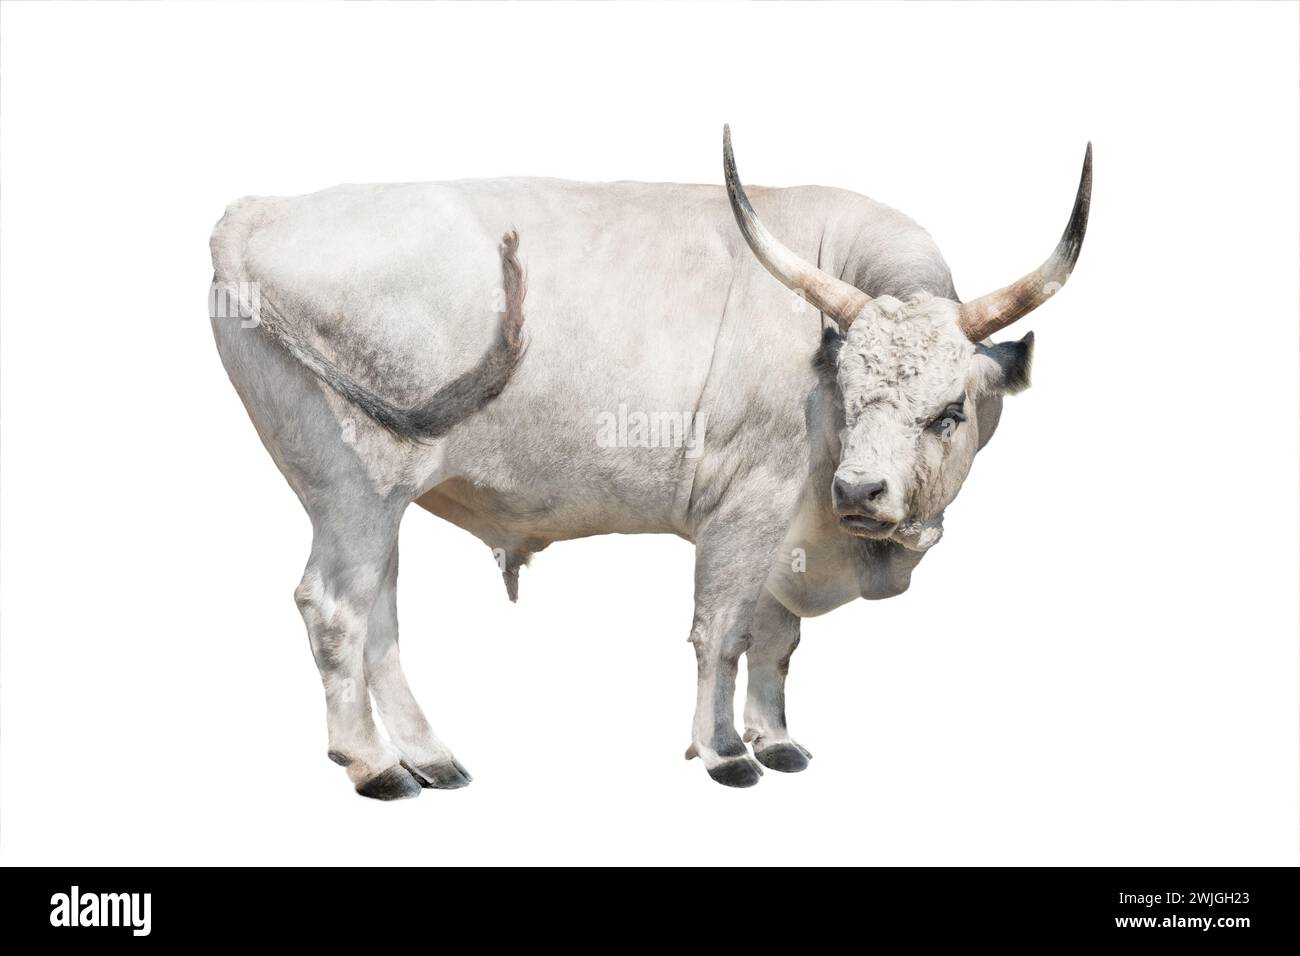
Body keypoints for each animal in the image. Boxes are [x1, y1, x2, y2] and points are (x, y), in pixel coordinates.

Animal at [210, 127, 1090, 798]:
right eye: (846, 391)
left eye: (949, 412)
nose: (860, 489)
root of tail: (257, 212)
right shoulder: (746, 506)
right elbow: (723, 632)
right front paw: (724, 753)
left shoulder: (788, 529)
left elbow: (775, 640)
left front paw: (773, 739)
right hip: (353, 489)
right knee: (335, 608)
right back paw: (373, 766)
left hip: (377, 499)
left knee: (381, 617)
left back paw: (429, 755)